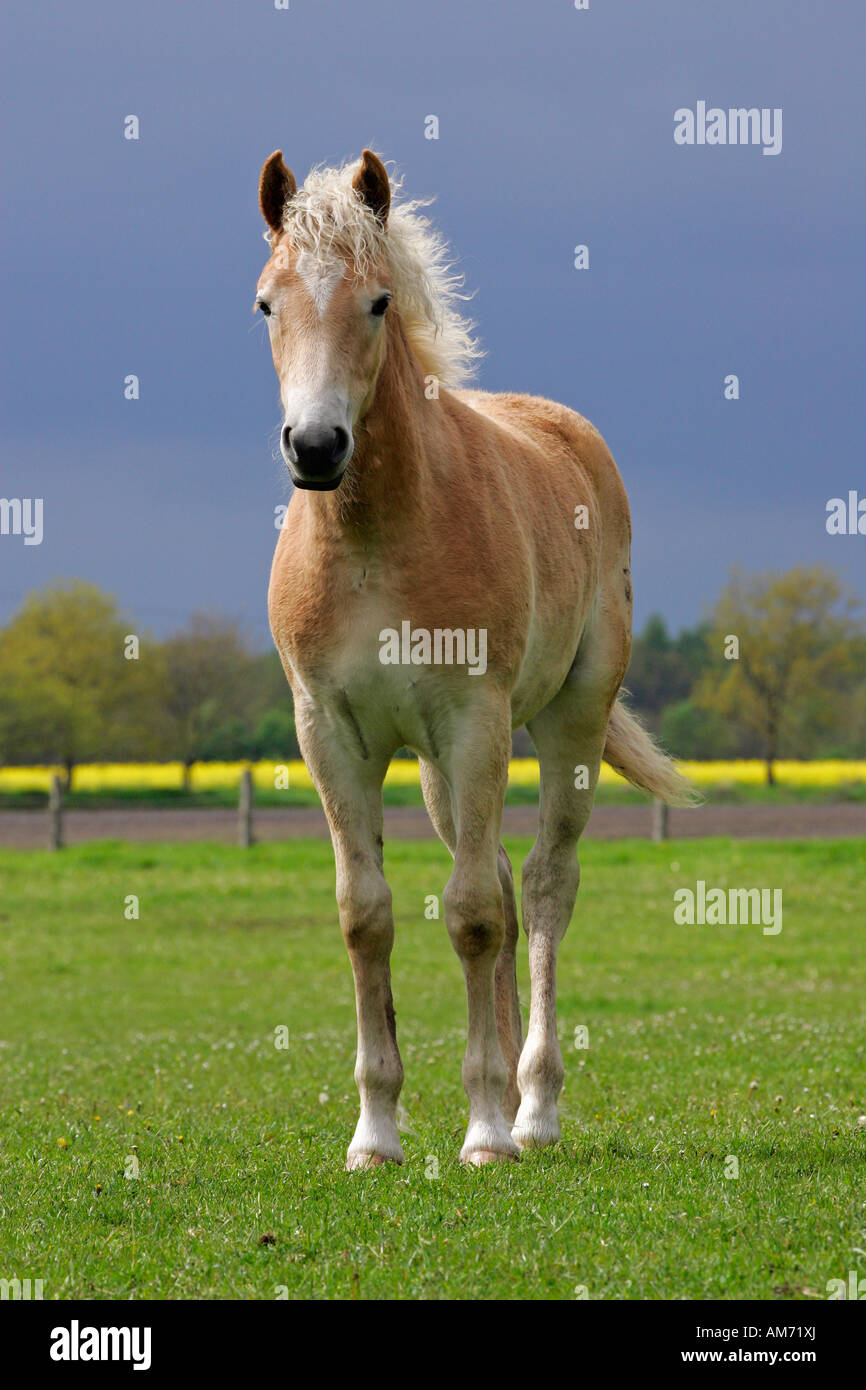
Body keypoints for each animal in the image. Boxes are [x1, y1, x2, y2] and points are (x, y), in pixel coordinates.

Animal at [255, 149, 693, 1168]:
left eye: (378, 301)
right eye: (266, 303)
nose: (317, 447)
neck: (375, 539)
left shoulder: (474, 720)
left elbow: (474, 915)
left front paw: (486, 1128)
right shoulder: (331, 732)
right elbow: (367, 915)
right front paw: (376, 1133)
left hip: (562, 724)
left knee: (538, 885)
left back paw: (533, 1109)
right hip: (435, 770)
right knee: (491, 872)